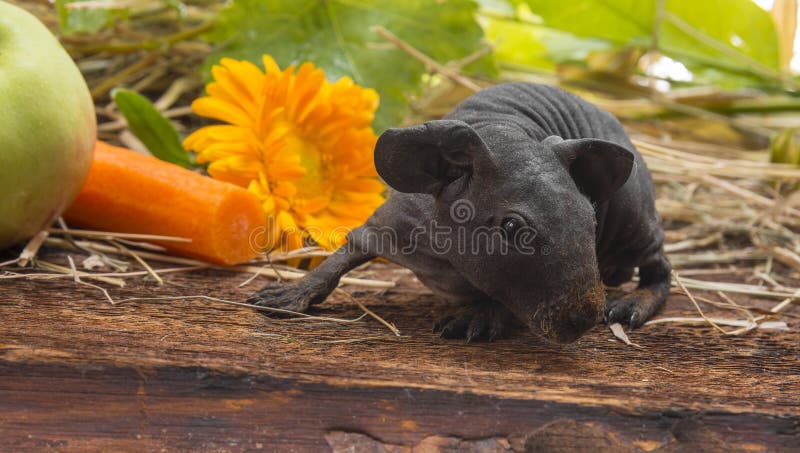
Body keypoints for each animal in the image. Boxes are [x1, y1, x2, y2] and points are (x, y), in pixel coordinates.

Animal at [248, 82, 671, 344]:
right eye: (512, 227)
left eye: (591, 219)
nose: (582, 322)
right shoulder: (391, 224)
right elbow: (338, 260)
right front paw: (293, 291)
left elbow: (495, 293)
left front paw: (479, 314)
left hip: (633, 216)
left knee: (659, 267)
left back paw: (633, 302)